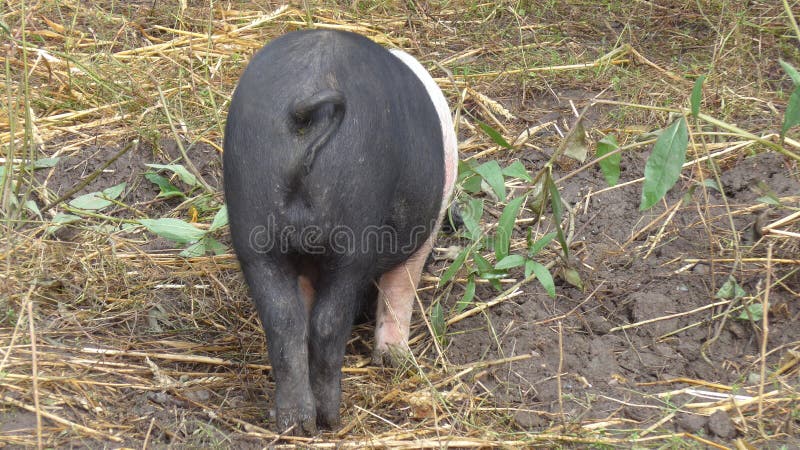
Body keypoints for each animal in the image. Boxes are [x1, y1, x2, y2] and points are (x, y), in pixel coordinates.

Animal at [223, 29, 457, 434]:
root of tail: (307, 109)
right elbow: (400, 290)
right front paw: (395, 360)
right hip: (355, 224)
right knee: (328, 323)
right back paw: (331, 418)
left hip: (252, 215)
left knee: (284, 320)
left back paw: (294, 423)